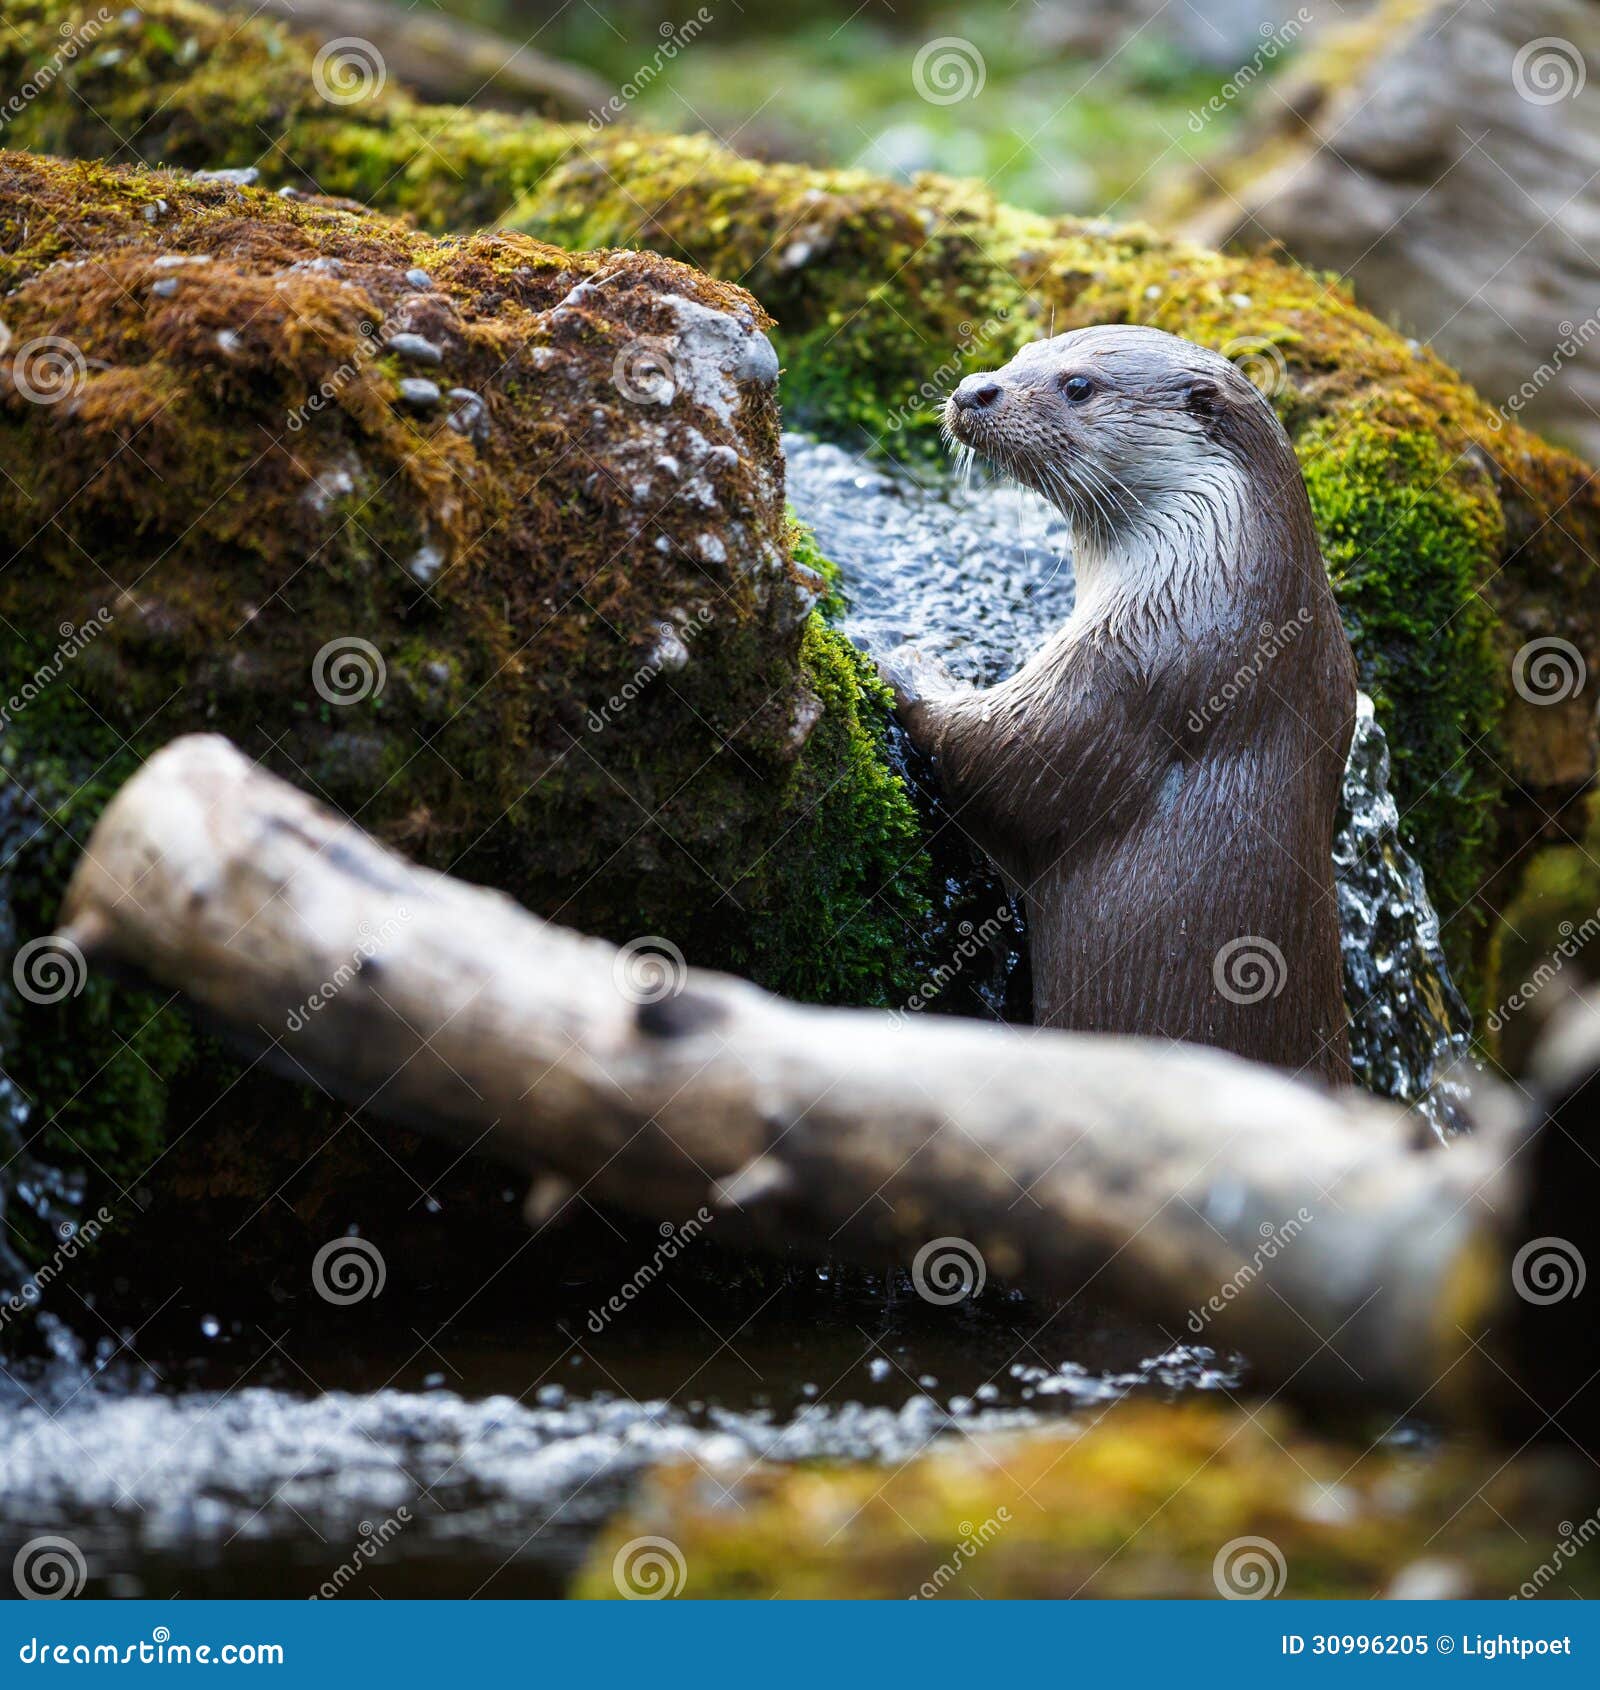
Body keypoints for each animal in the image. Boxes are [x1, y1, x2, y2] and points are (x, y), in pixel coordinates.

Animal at [883, 325, 1357, 1085]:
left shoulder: (1134, 670)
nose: (974, 388)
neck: (1217, 586)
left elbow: (1002, 759)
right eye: (1023, 352)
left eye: (1079, 385)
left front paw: (908, 661)